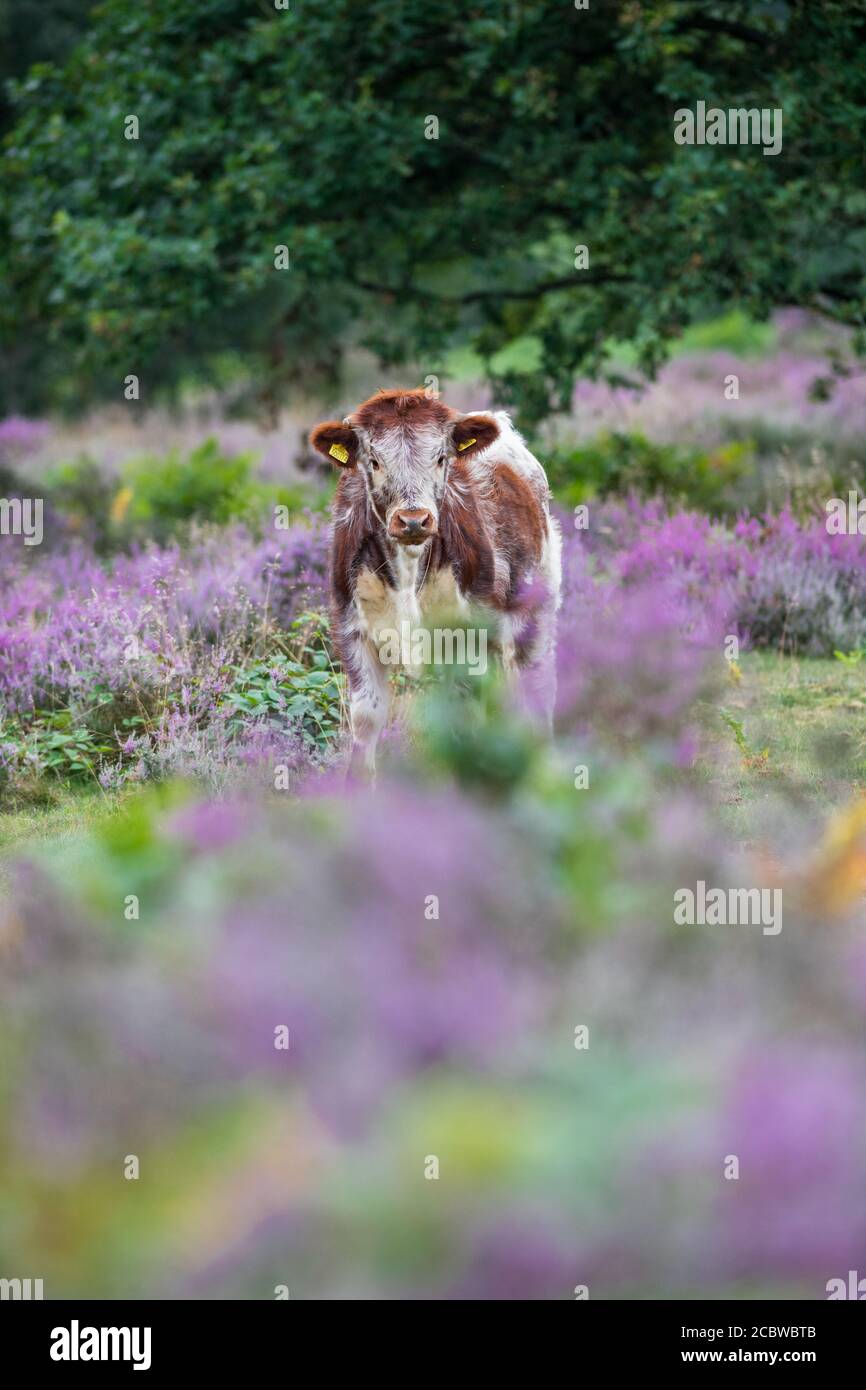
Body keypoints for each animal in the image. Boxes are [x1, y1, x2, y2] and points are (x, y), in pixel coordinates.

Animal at [310, 388, 561, 772]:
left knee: (537, 685)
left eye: (441, 457)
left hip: (537, 612)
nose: (413, 520)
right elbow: (367, 718)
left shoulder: (474, 638)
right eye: (374, 461)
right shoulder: (351, 628)